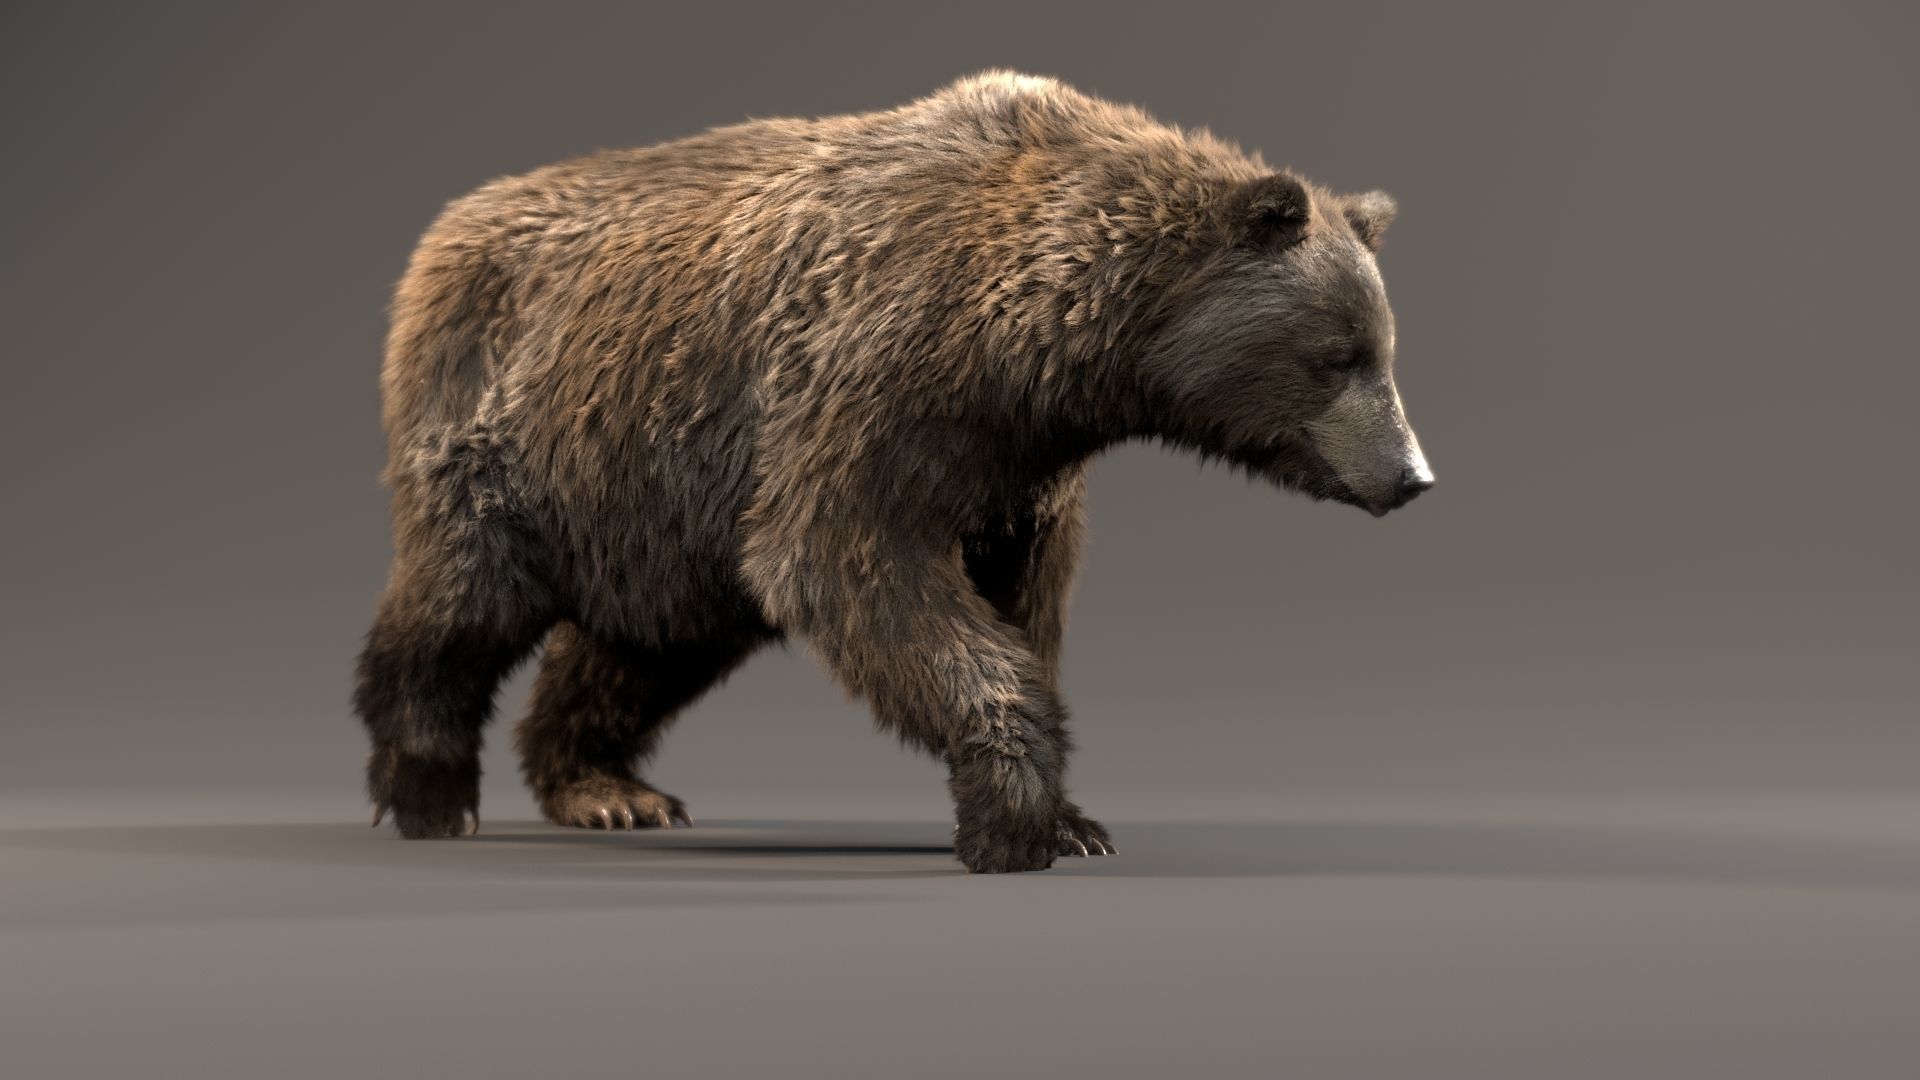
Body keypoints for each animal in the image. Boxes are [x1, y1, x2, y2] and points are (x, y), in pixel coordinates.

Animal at [355, 71, 1433, 873]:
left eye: (1383, 348)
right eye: (1339, 355)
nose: (1412, 475)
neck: (1043, 351)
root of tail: (444, 229)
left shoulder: (1016, 472)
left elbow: (1023, 604)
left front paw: (1074, 819)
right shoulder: (876, 384)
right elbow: (852, 564)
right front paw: (1016, 813)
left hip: (659, 509)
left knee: (649, 638)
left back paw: (609, 790)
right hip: (515, 436)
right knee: (460, 603)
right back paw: (429, 789)